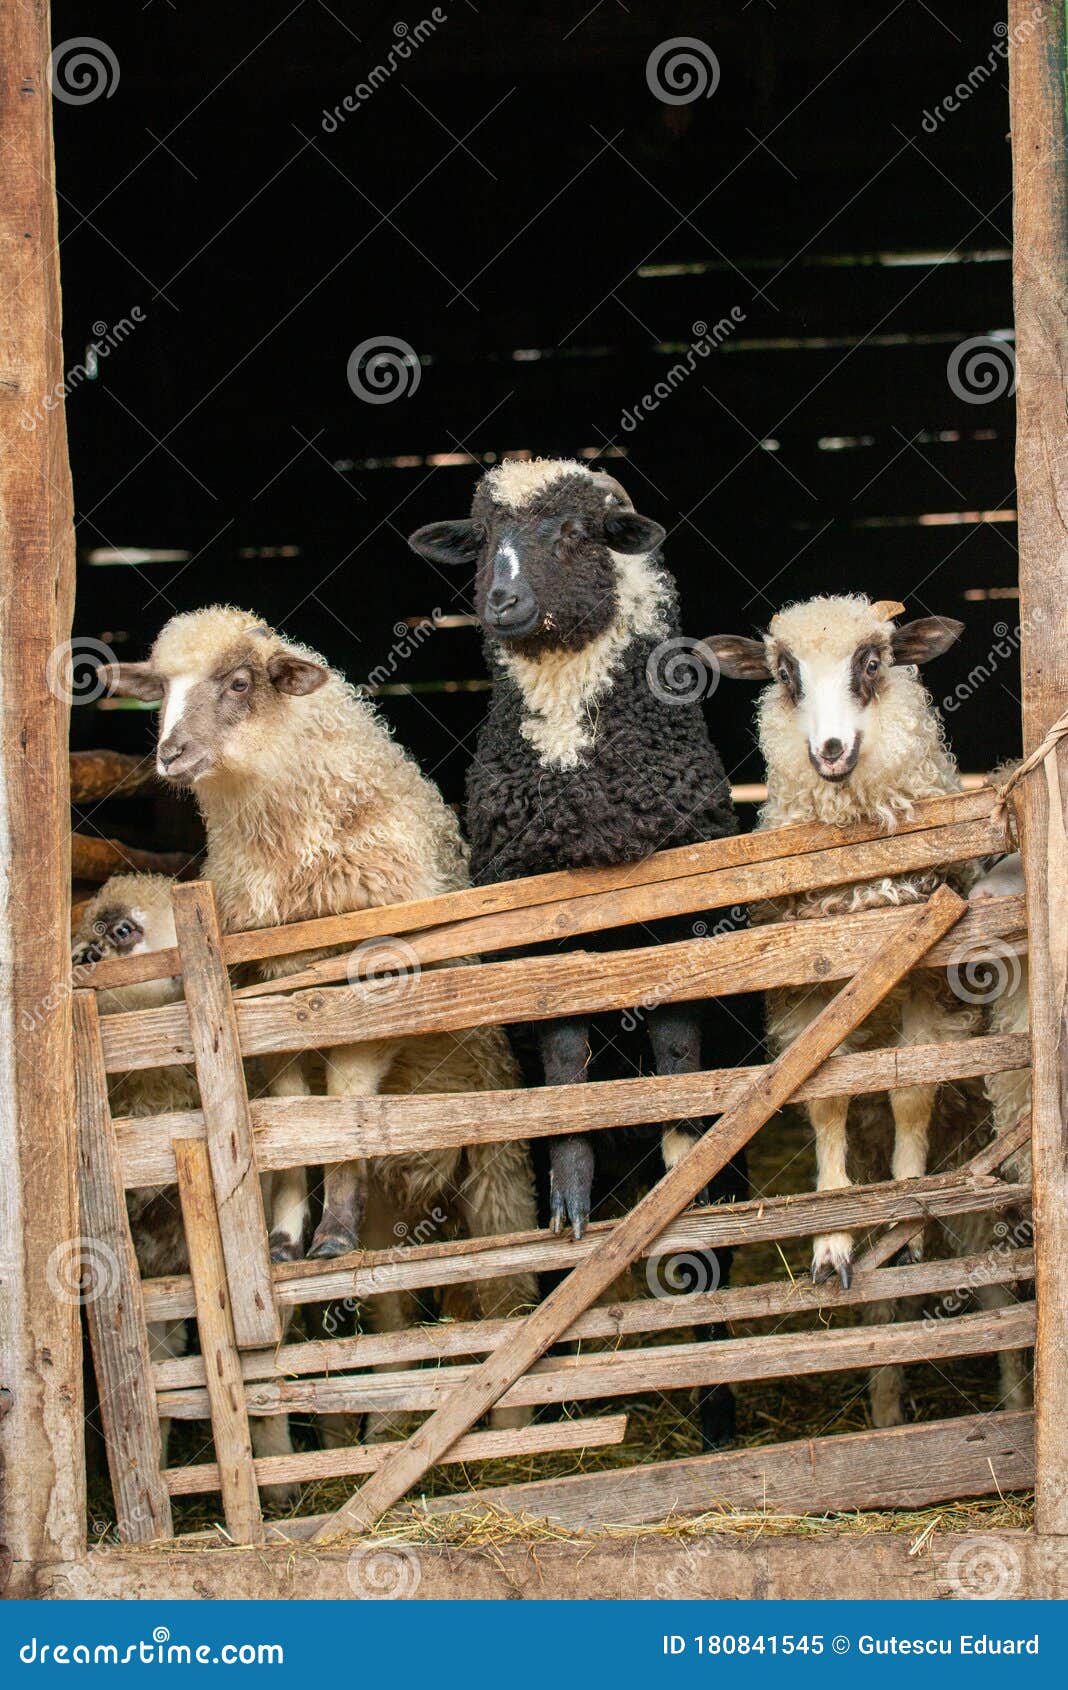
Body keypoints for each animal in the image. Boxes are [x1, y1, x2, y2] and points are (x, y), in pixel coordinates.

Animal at [101, 610, 537, 1434]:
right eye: (160, 688)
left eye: (240, 683)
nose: (170, 755)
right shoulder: (268, 1001)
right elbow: (296, 1117)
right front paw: (282, 1237)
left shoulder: (370, 998)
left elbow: (340, 1112)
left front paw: (329, 1231)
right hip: (397, 1212)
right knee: (393, 1315)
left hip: (493, 1172)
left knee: (507, 1299)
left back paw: (511, 1432)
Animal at [410, 458, 746, 1450]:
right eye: (483, 537)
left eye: (574, 533)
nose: (501, 599)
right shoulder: (539, 934)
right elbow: (565, 1077)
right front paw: (570, 1199)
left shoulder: (681, 930)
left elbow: (677, 1070)